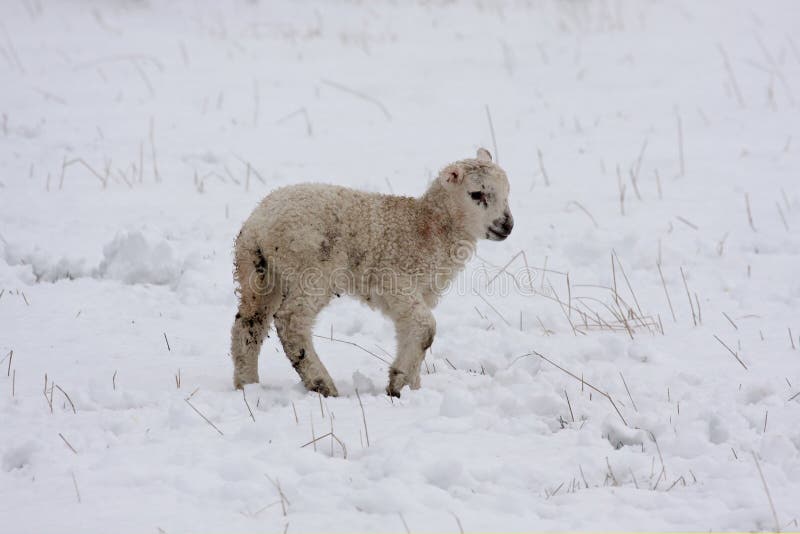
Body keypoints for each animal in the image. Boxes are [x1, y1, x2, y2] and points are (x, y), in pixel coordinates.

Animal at [230, 148, 513, 397]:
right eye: (476, 194)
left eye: (507, 191)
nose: (507, 225)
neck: (428, 227)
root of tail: (258, 223)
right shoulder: (394, 281)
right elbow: (426, 328)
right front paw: (399, 384)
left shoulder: (415, 293)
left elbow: (412, 332)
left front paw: (409, 388)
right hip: (311, 269)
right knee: (291, 321)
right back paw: (322, 384)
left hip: (259, 272)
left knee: (249, 323)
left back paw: (248, 385)